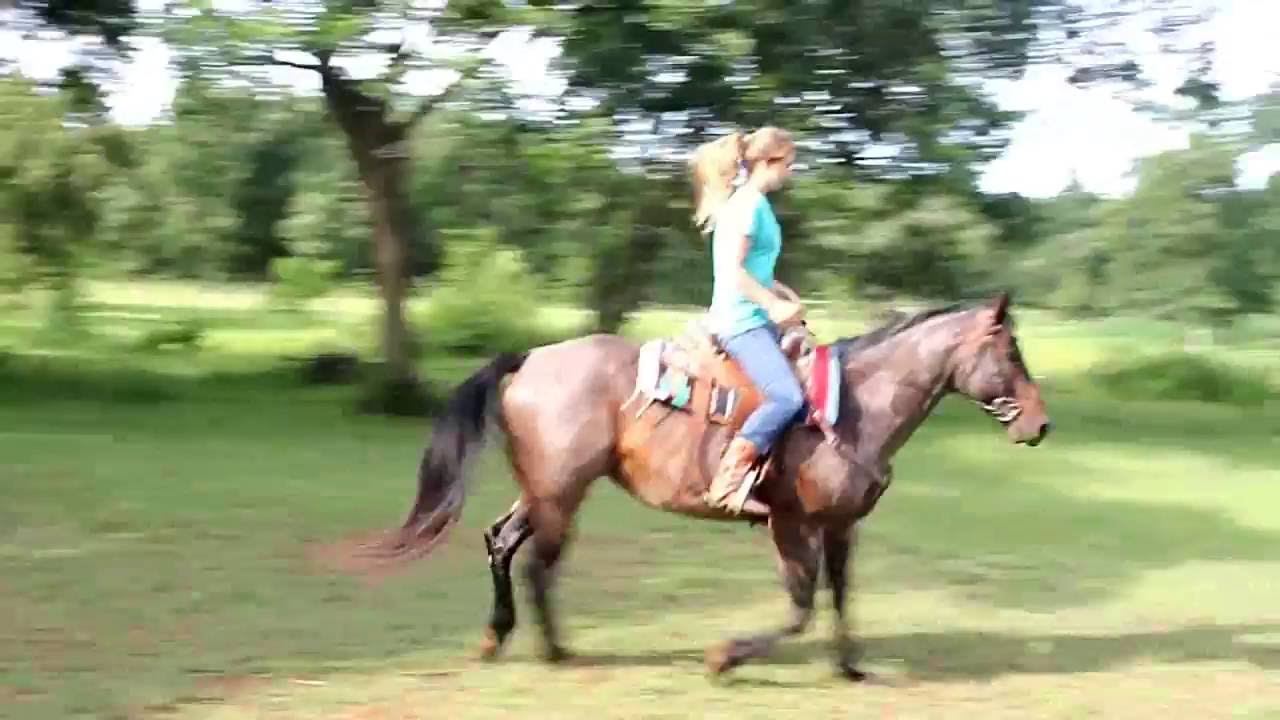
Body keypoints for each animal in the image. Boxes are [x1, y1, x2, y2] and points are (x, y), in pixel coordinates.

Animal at [380, 292, 1050, 680]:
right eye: (1011, 350)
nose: (1040, 424)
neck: (854, 409)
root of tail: (530, 359)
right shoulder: (788, 523)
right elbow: (801, 607)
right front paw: (725, 658)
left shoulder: (840, 525)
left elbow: (838, 596)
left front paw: (850, 668)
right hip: (563, 493)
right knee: (536, 562)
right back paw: (553, 651)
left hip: (544, 491)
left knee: (502, 543)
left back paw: (500, 637)